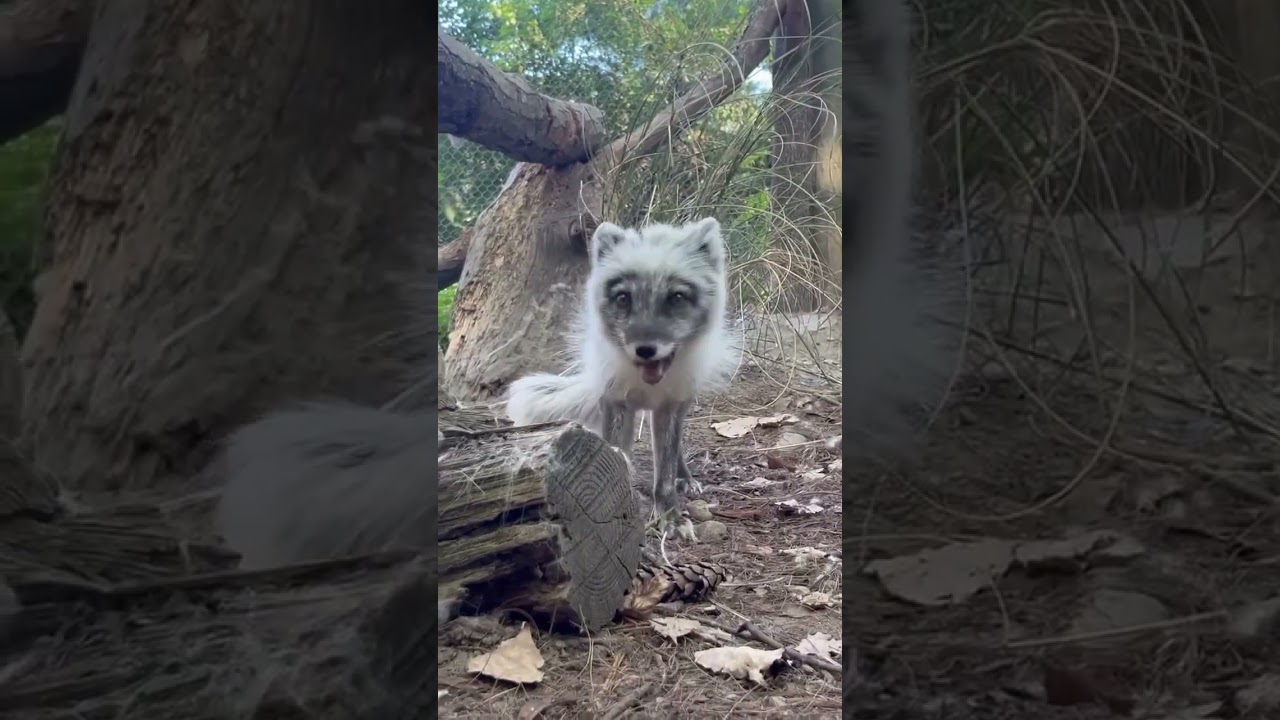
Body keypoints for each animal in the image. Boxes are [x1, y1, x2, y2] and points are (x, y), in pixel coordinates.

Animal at [505, 217, 740, 521]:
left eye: (676, 297)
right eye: (623, 298)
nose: (645, 349)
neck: (646, 385)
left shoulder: (669, 406)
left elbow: (664, 474)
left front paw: (669, 517)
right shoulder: (614, 399)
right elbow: (618, 453)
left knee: (676, 447)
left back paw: (685, 478)